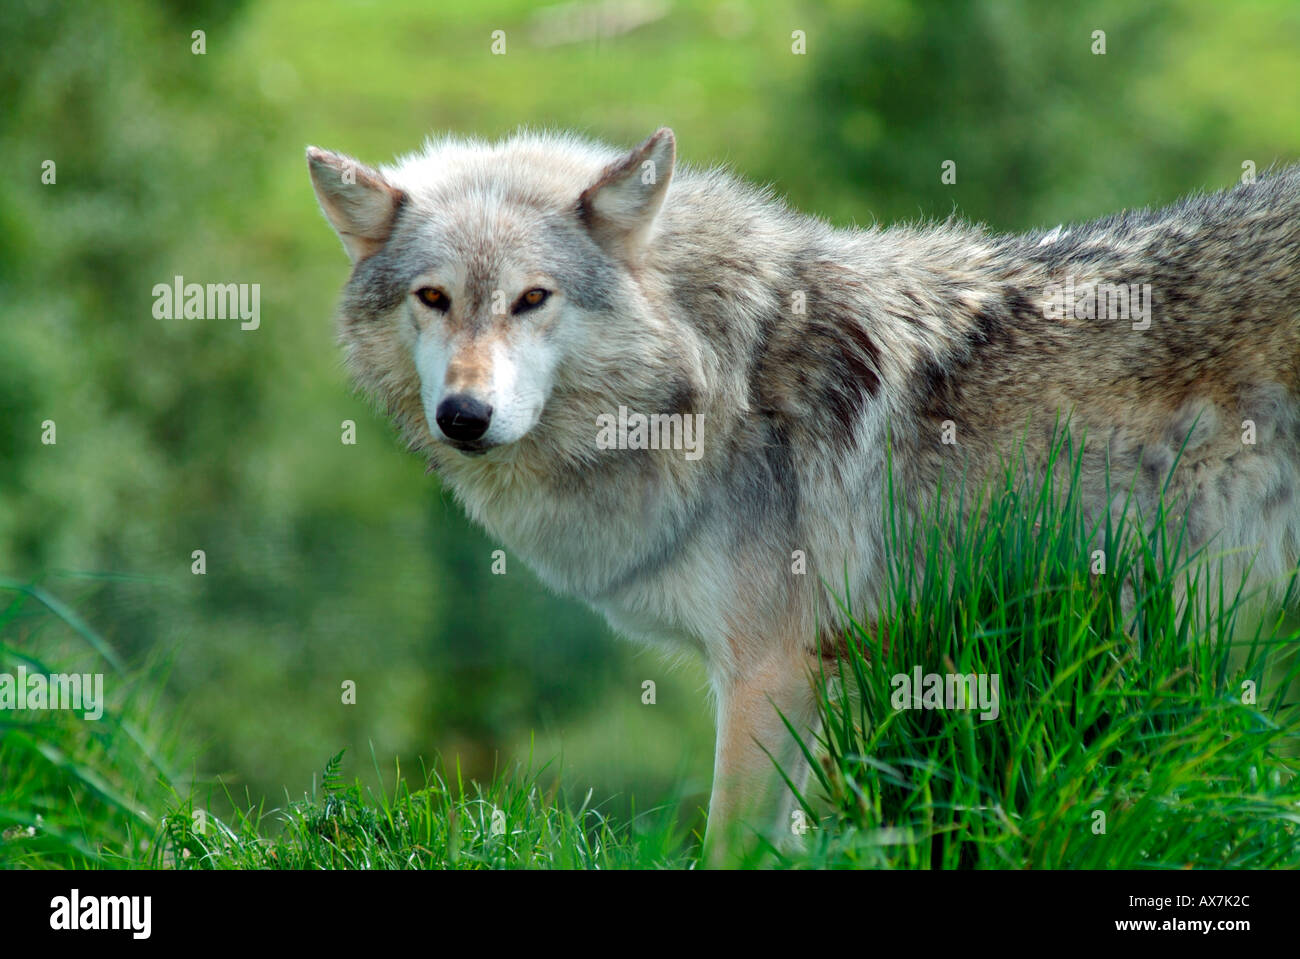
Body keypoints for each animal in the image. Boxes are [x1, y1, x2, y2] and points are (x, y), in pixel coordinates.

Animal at [308, 127, 1300, 862]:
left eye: (531, 299)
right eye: (433, 298)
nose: (463, 415)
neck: (712, 380)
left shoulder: (767, 668)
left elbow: (727, 844)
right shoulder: (811, 675)